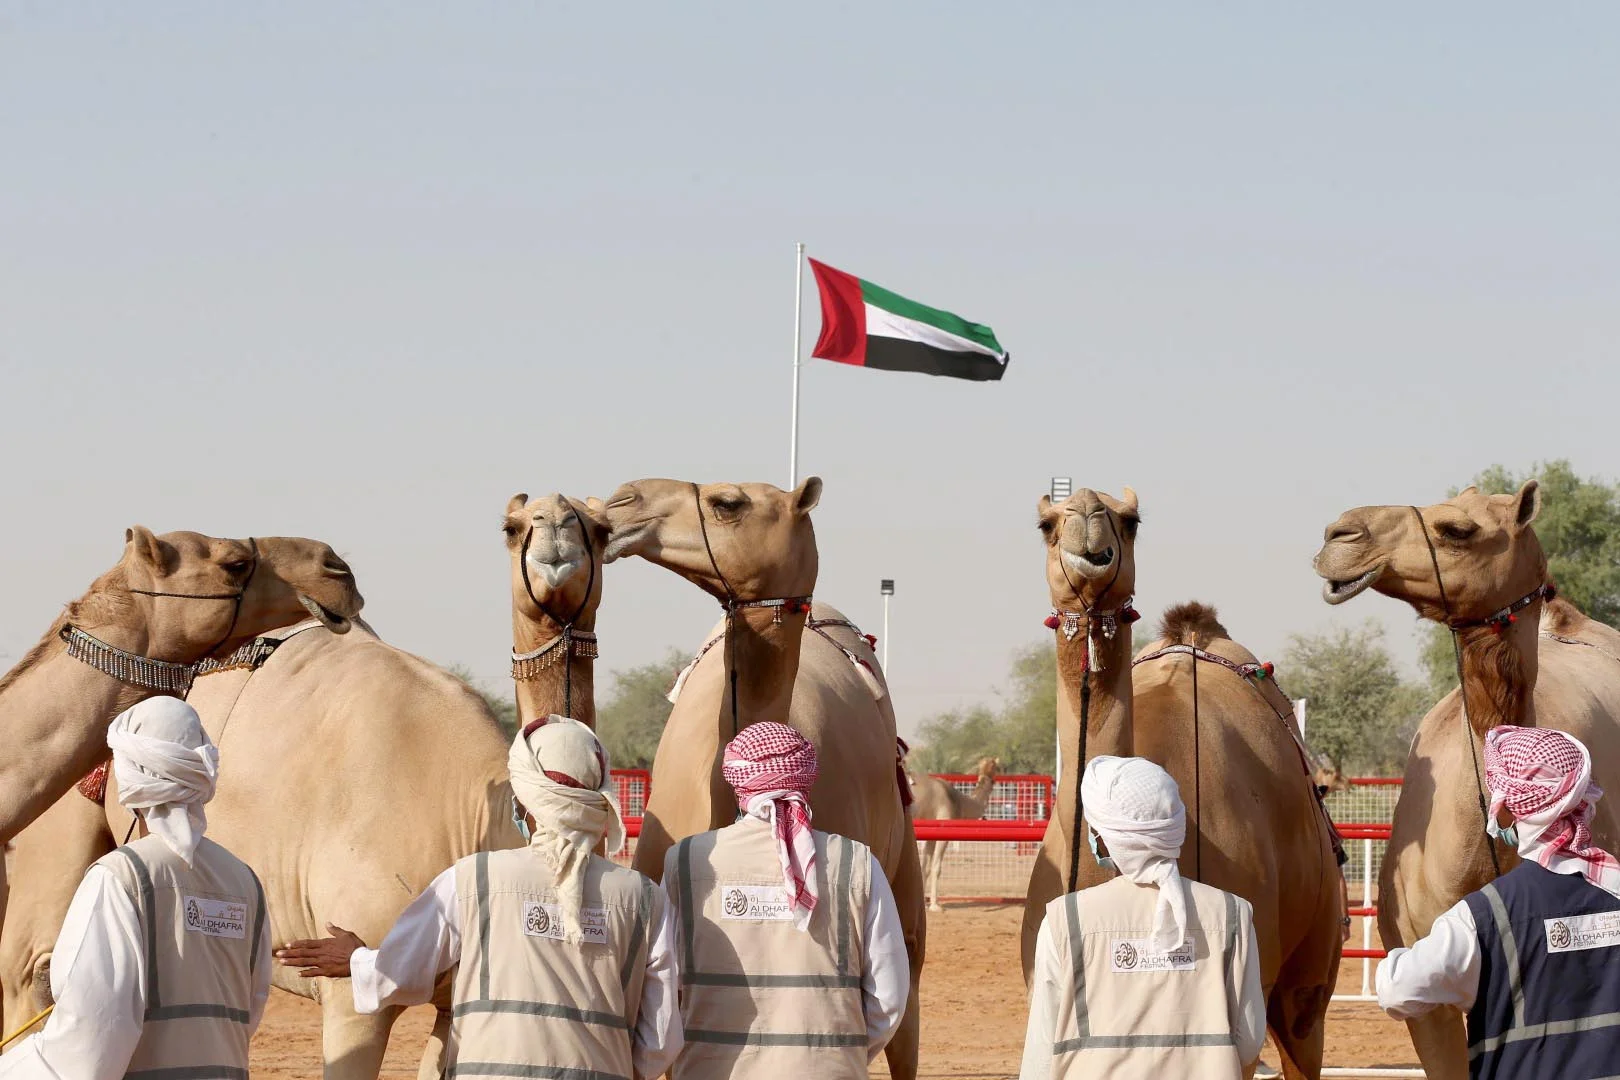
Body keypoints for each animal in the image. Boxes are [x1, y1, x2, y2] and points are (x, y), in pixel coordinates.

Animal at [1, 496, 608, 1079]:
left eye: (600, 528)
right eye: (513, 527)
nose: (334, 565)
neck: (473, 809)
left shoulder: (451, 996)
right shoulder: (351, 989)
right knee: (33, 970)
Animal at [909, 756, 1001, 912]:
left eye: (990, 764)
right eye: (996, 765)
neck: (958, 801)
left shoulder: (931, 835)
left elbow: (924, 868)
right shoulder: (943, 829)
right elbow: (936, 867)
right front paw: (935, 906)